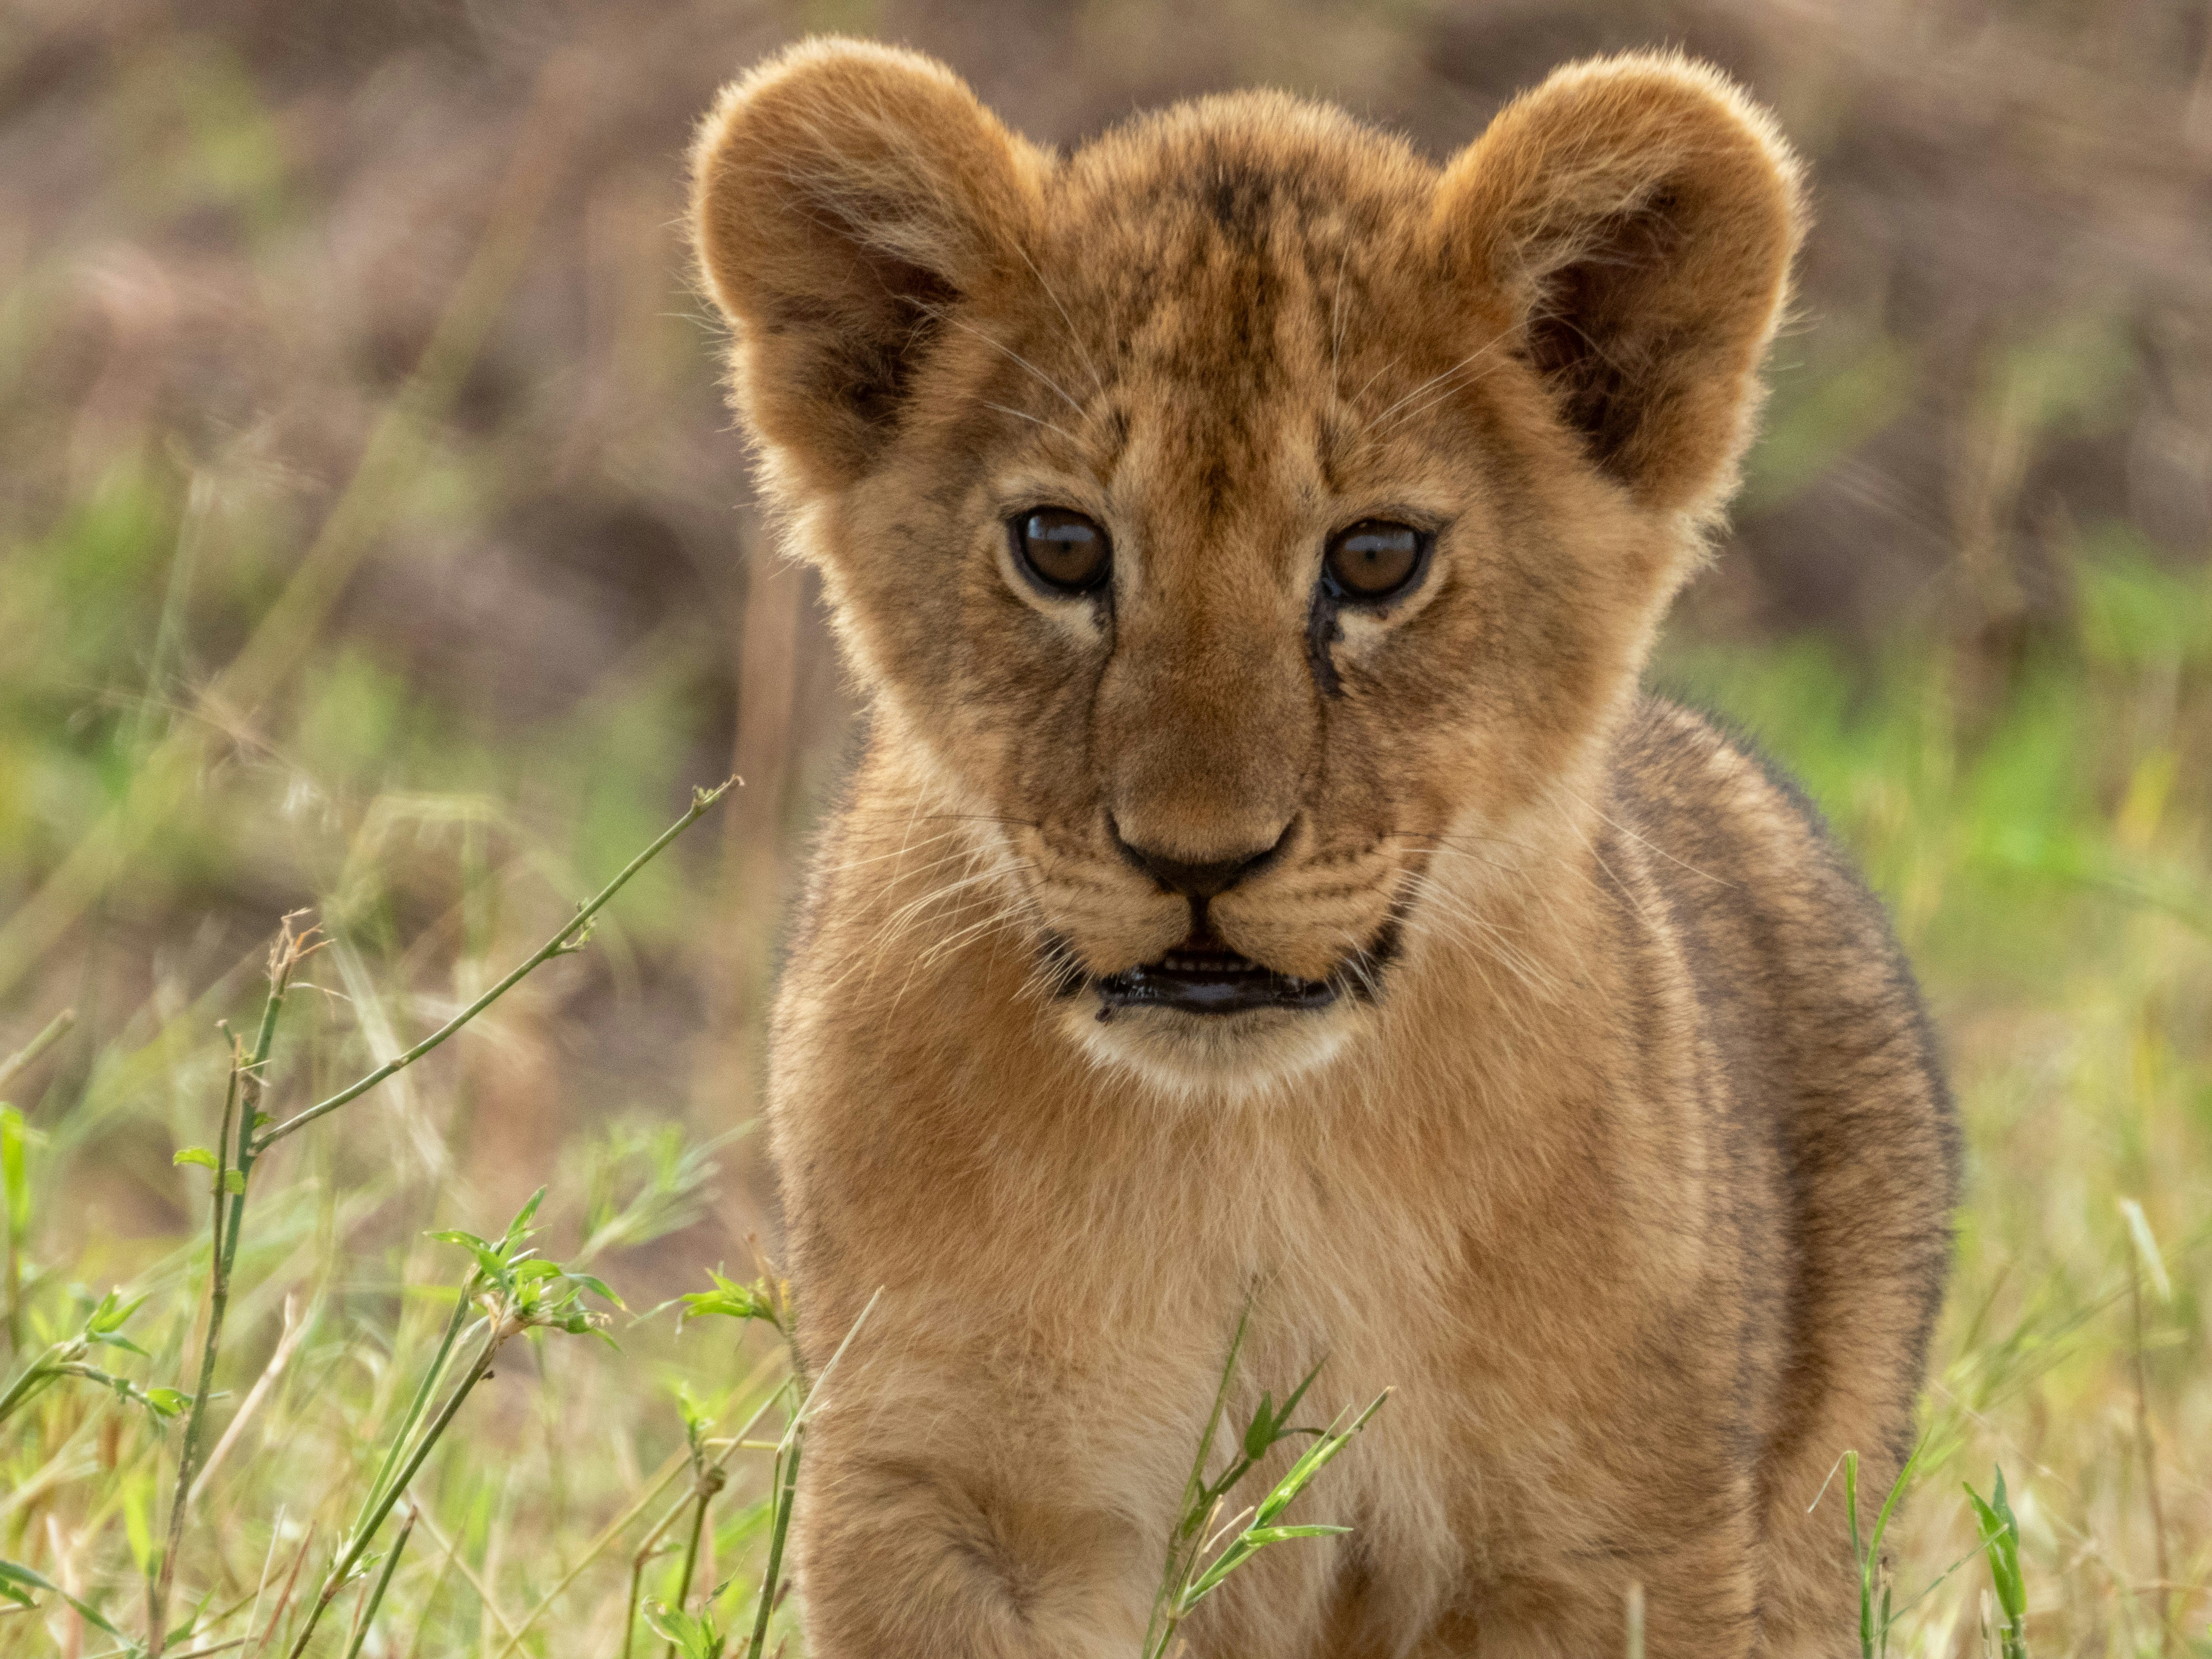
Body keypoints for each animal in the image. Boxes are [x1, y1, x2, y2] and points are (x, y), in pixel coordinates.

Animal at [689, 37, 1957, 1658]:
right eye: (1061, 547)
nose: (1198, 860)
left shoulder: (1614, 1546)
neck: (1251, 1167)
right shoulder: (936, 1495)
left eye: (1376, 558)